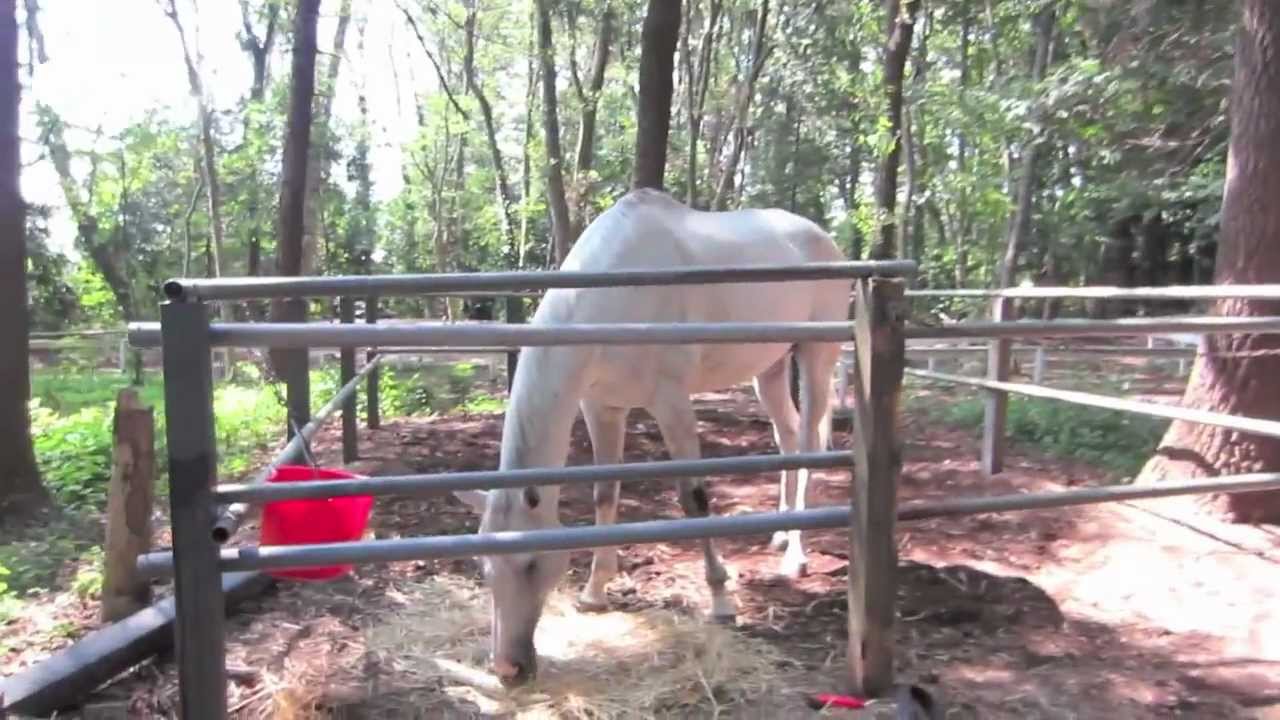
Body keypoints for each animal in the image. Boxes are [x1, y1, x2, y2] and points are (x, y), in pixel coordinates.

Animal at [451, 188, 850, 687]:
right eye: (483, 568)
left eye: (531, 563)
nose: (508, 669)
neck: (615, 297)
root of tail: (822, 237)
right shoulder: (602, 407)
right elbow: (605, 494)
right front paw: (595, 591)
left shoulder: (672, 401)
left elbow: (693, 499)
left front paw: (722, 603)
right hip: (771, 367)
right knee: (789, 437)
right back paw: (778, 534)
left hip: (816, 355)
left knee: (811, 442)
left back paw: (795, 554)